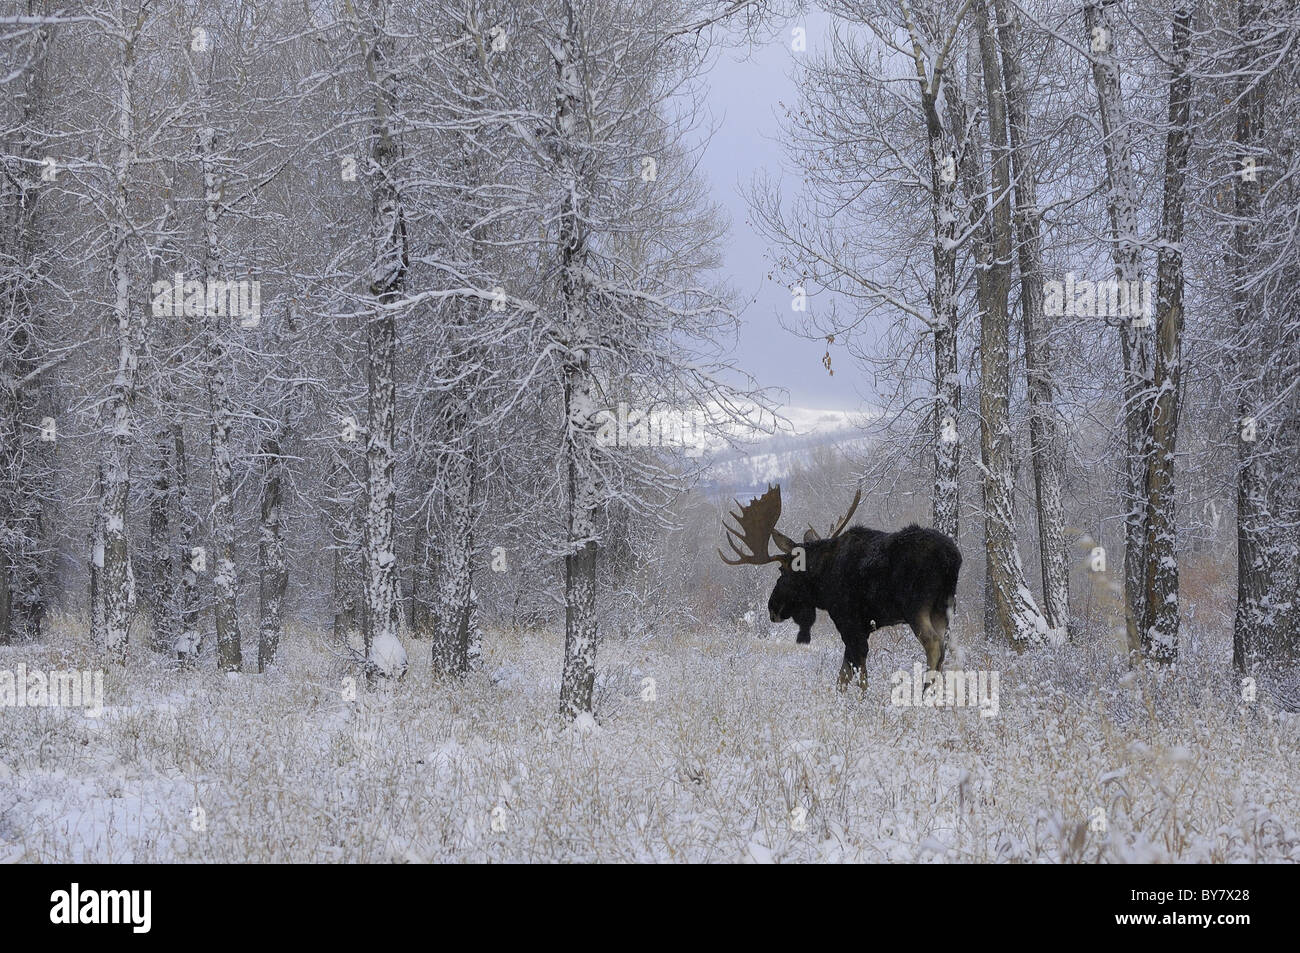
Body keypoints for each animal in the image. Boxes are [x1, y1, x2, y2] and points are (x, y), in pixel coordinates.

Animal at [719, 484, 961, 692]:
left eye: (782, 571)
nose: (772, 608)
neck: (823, 585)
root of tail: (951, 557)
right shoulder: (864, 626)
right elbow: (846, 673)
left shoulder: (849, 620)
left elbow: (856, 672)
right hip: (944, 607)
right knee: (948, 646)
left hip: (916, 606)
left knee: (934, 644)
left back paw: (924, 692)